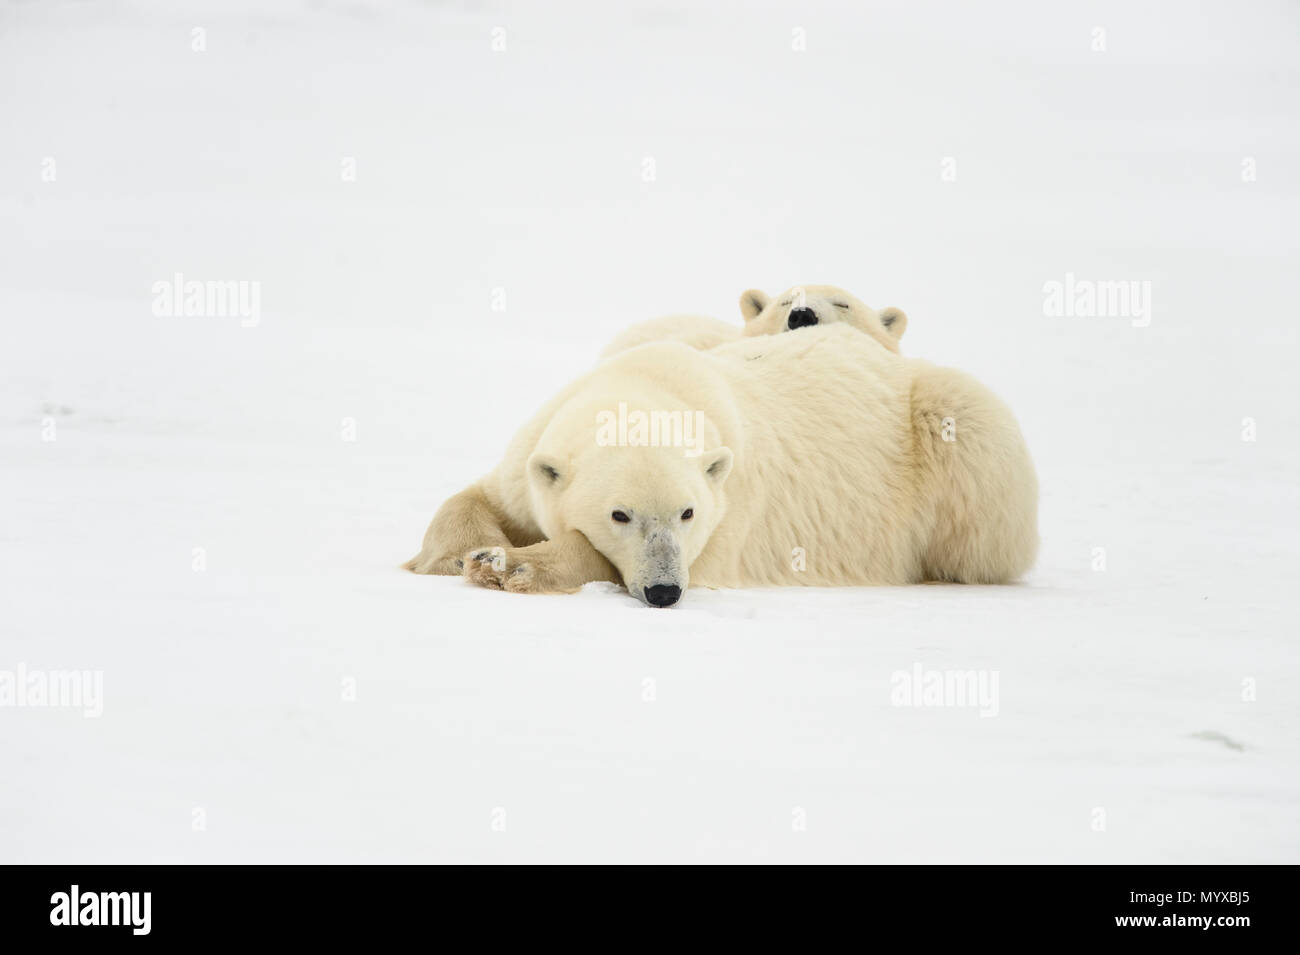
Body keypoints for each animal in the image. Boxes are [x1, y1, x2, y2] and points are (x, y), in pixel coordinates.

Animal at [404, 323, 1038, 606]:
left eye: (687, 514)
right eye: (620, 514)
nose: (664, 591)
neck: (641, 387)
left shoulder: (728, 509)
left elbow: (606, 559)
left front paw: (507, 564)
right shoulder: (534, 448)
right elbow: (483, 495)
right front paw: (453, 555)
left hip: (955, 435)